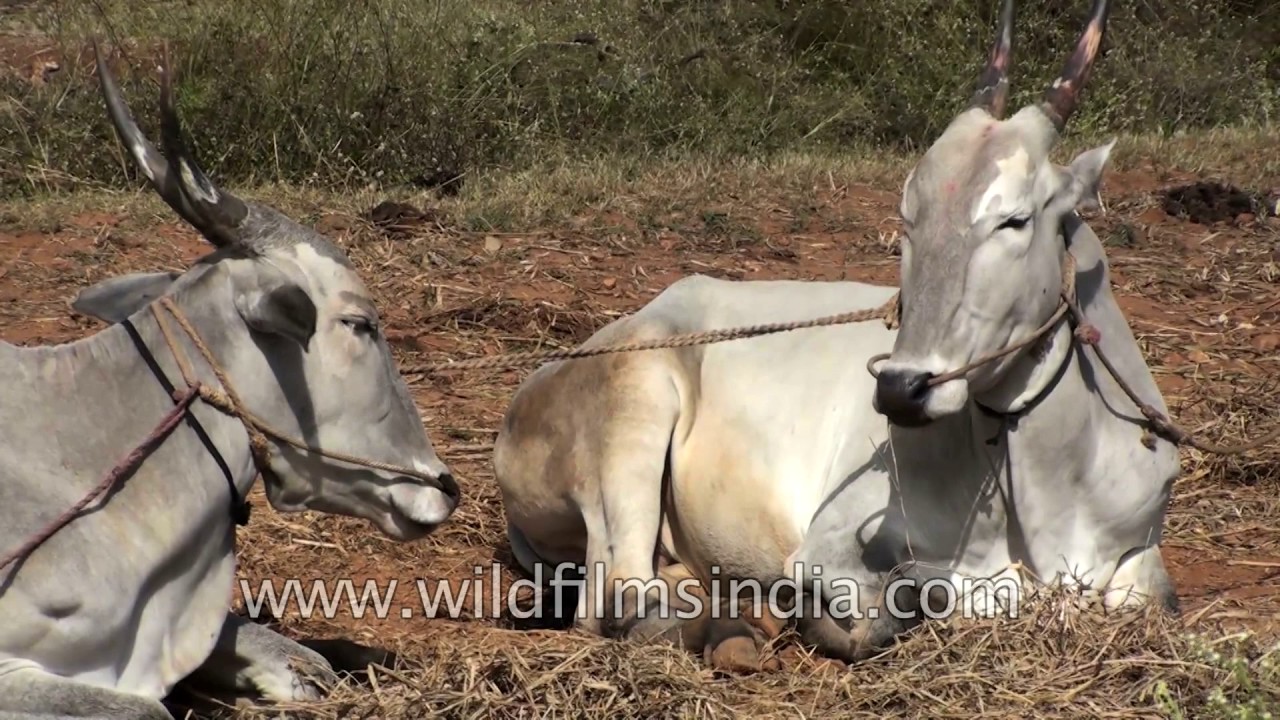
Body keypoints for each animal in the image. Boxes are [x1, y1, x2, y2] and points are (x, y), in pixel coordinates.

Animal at [492, 0, 1178, 671]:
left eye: (1015, 218)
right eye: (908, 218)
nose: (903, 389)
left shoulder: (1140, 551)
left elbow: (1148, 598)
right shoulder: (830, 545)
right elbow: (945, 594)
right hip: (633, 411)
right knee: (620, 600)